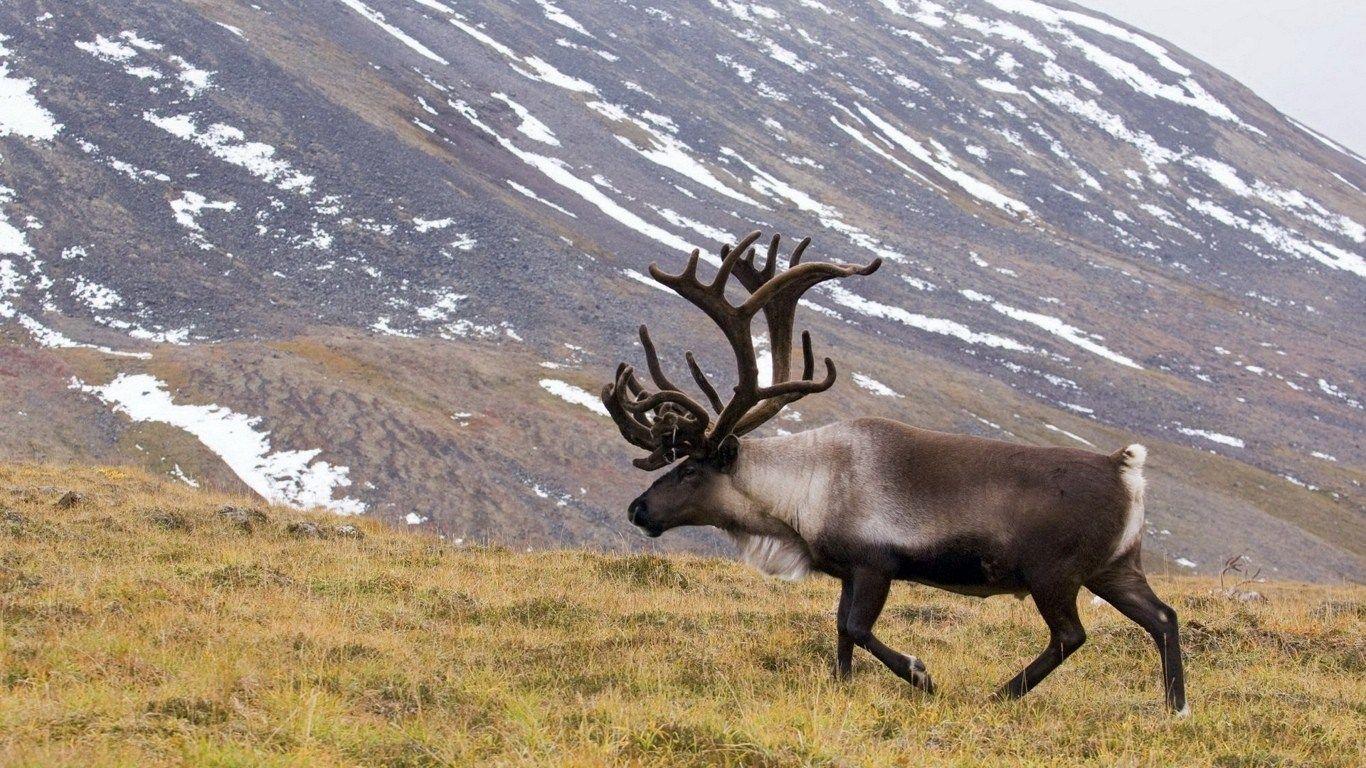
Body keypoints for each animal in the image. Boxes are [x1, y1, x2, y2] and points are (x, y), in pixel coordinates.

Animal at [601, 231, 1188, 715]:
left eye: (691, 470)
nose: (637, 509)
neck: (805, 490)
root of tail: (1125, 468)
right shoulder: (844, 571)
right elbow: (840, 633)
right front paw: (841, 688)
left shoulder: (874, 565)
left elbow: (857, 628)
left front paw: (920, 674)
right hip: (1114, 567)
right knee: (1163, 617)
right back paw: (1175, 707)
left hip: (1054, 573)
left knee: (1071, 635)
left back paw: (1001, 694)